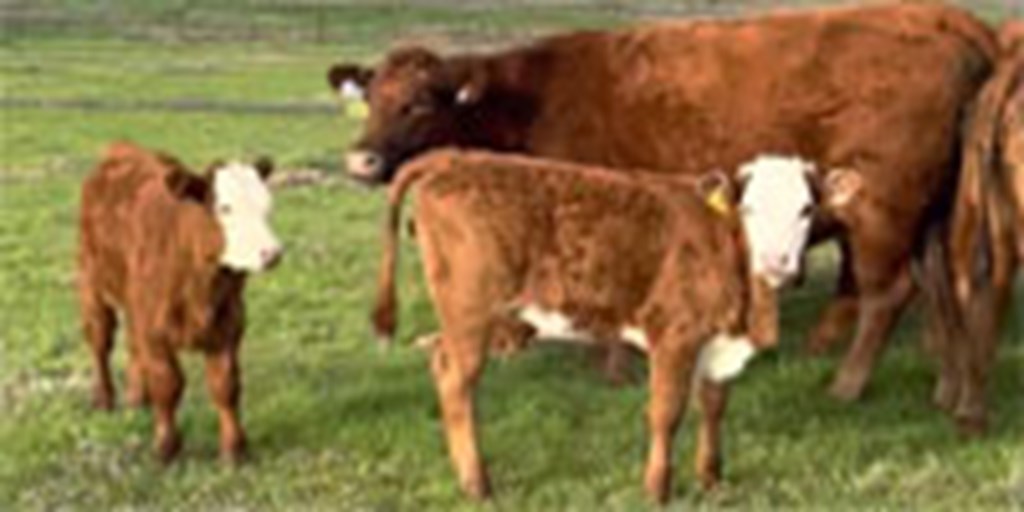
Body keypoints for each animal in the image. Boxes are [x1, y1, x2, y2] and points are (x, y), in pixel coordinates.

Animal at [77, 142, 283, 463]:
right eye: (225, 208)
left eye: (266, 205)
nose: (272, 253)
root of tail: (120, 149)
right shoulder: (155, 330)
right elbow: (168, 384)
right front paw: (166, 447)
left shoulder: (230, 326)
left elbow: (226, 386)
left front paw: (234, 449)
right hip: (92, 284)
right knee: (100, 343)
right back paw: (104, 399)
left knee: (132, 344)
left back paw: (138, 398)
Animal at [327, 2, 998, 401]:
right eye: (372, 99)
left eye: (418, 103)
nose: (360, 161)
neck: (525, 102)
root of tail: (947, 29)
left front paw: (613, 367)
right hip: (929, 214)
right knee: (942, 287)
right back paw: (947, 387)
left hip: (881, 206)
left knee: (888, 293)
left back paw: (846, 385)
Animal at [371, 149, 865, 502]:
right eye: (749, 210)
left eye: (806, 209)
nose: (777, 264)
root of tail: (452, 158)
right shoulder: (674, 335)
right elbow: (667, 412)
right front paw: (657, 489)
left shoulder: (717, 342)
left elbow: (713, 405)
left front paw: (710, 478)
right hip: (471, 316)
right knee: (456, 381)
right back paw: (478, 483)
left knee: (440, 362)